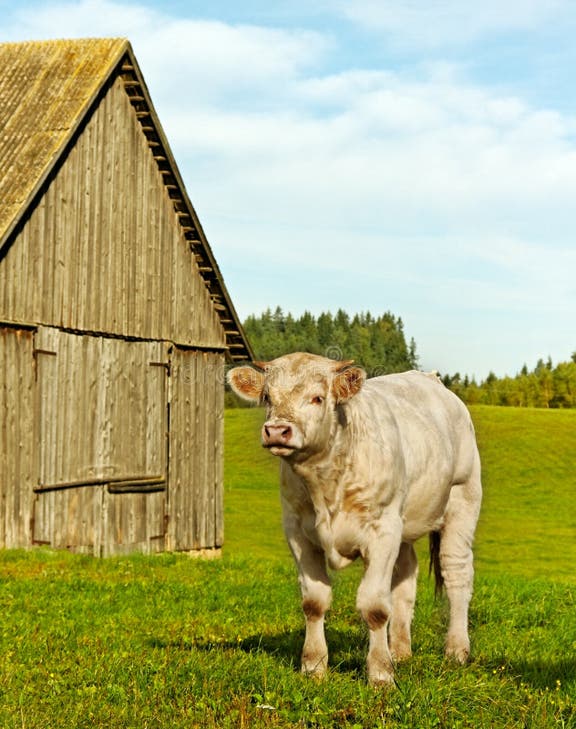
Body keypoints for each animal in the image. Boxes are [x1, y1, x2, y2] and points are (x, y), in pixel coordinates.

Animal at [227, 352, 482, 686]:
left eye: (318, 398)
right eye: (268, 397)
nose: (277, 430)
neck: (324, 484)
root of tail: (431, 378)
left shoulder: (382, 531)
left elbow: (375, 607)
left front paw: (381, 674)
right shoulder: (297, 532)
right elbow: (314, 602)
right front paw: (314, 666)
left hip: (462, 501)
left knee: (456, 576)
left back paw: (456, 650)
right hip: (404, 523)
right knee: (405, 580)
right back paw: (400, 650)